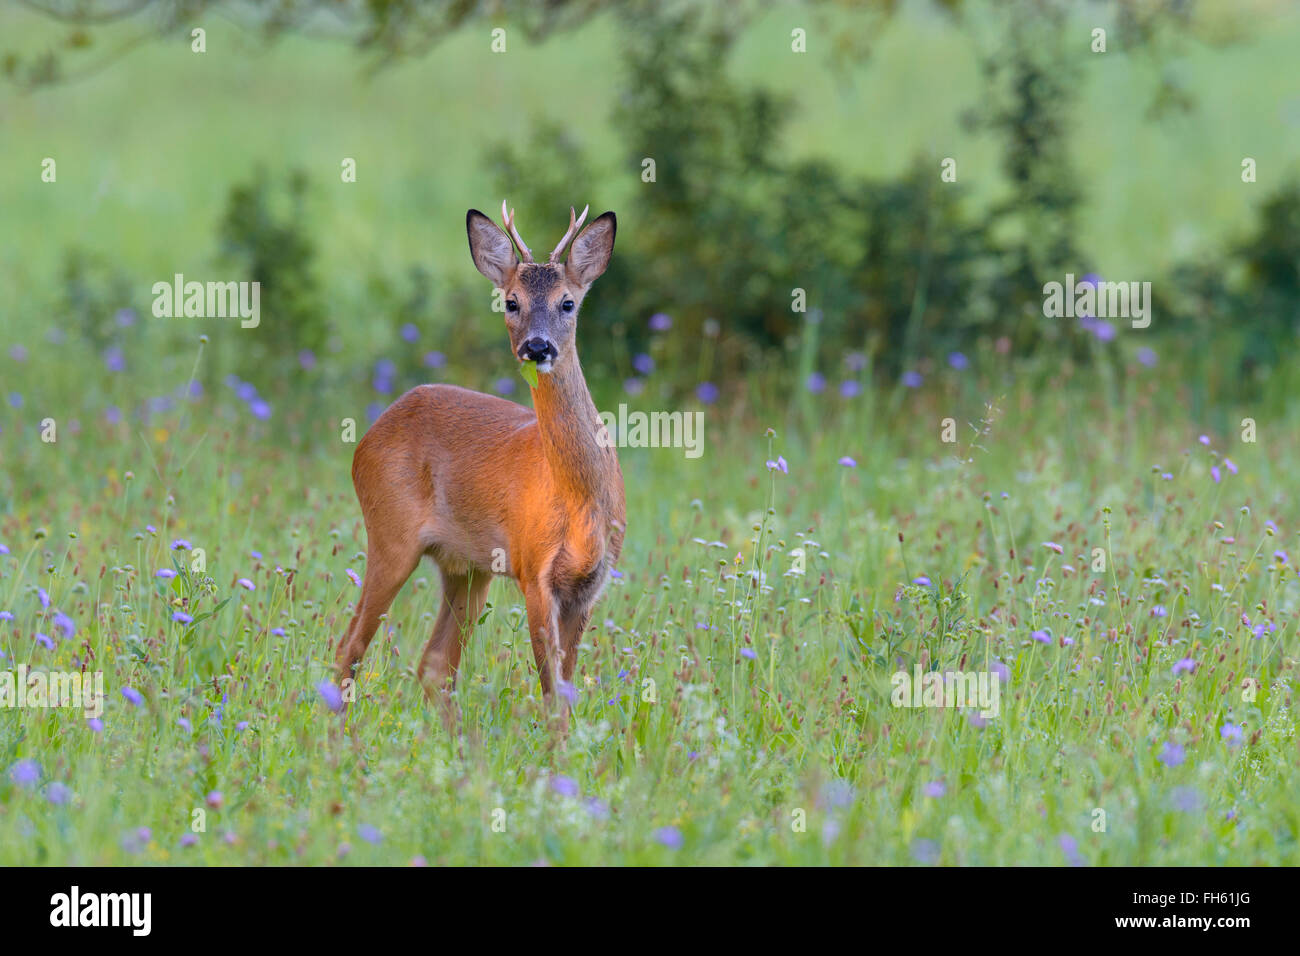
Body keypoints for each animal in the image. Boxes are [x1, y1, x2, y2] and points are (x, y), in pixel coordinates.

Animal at [334, 201, 625, 734]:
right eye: (510, 302)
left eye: (568, 303)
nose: (537, 347)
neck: (580, 498)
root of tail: (368, 436)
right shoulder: (534, 571)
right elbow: (552, 694)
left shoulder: (591, 584)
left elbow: (566, 690)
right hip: (390, 535)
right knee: (351, 645)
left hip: (466, 567)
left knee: (434, 664)